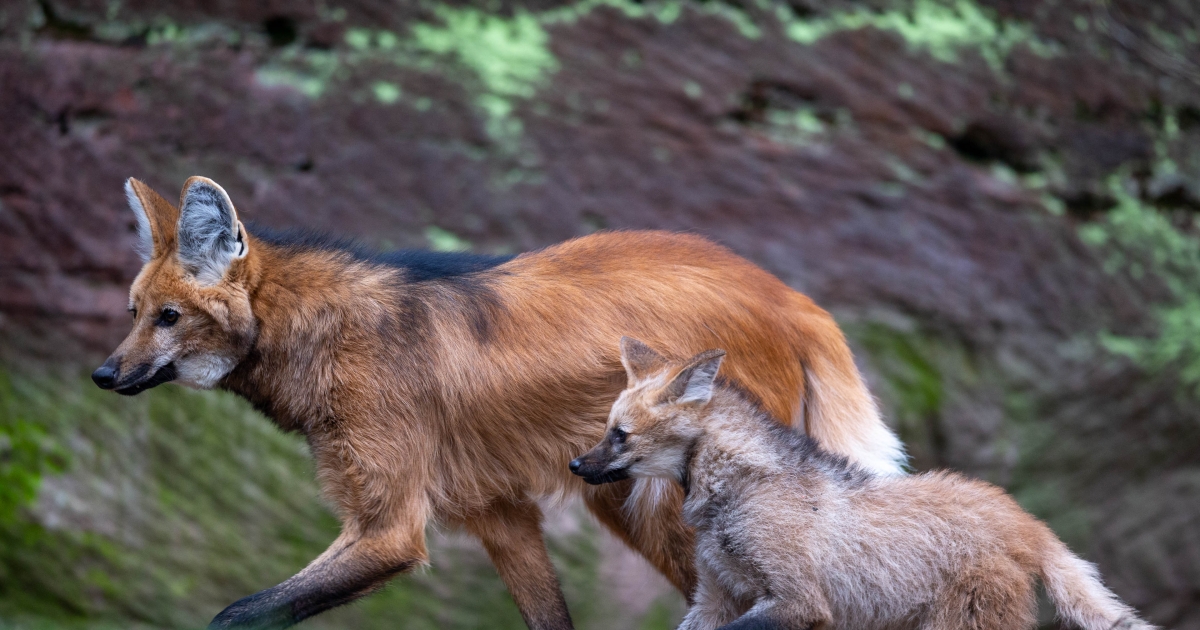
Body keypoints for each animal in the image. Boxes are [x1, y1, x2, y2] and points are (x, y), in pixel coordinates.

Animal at [94, 176, 905, 629]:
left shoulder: (391, 529)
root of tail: (794, 300)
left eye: (169, 317)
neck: (319, 333)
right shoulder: (498, 513)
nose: (103, 374)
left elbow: (236, 613)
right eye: (134, 312)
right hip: (620, 490)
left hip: (674, 507)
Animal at [571, 337, 1153, 630]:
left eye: (619, 435)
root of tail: (1023, 520)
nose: (576, 465)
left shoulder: (798, 602)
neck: (738, 491)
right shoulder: (715, 599)